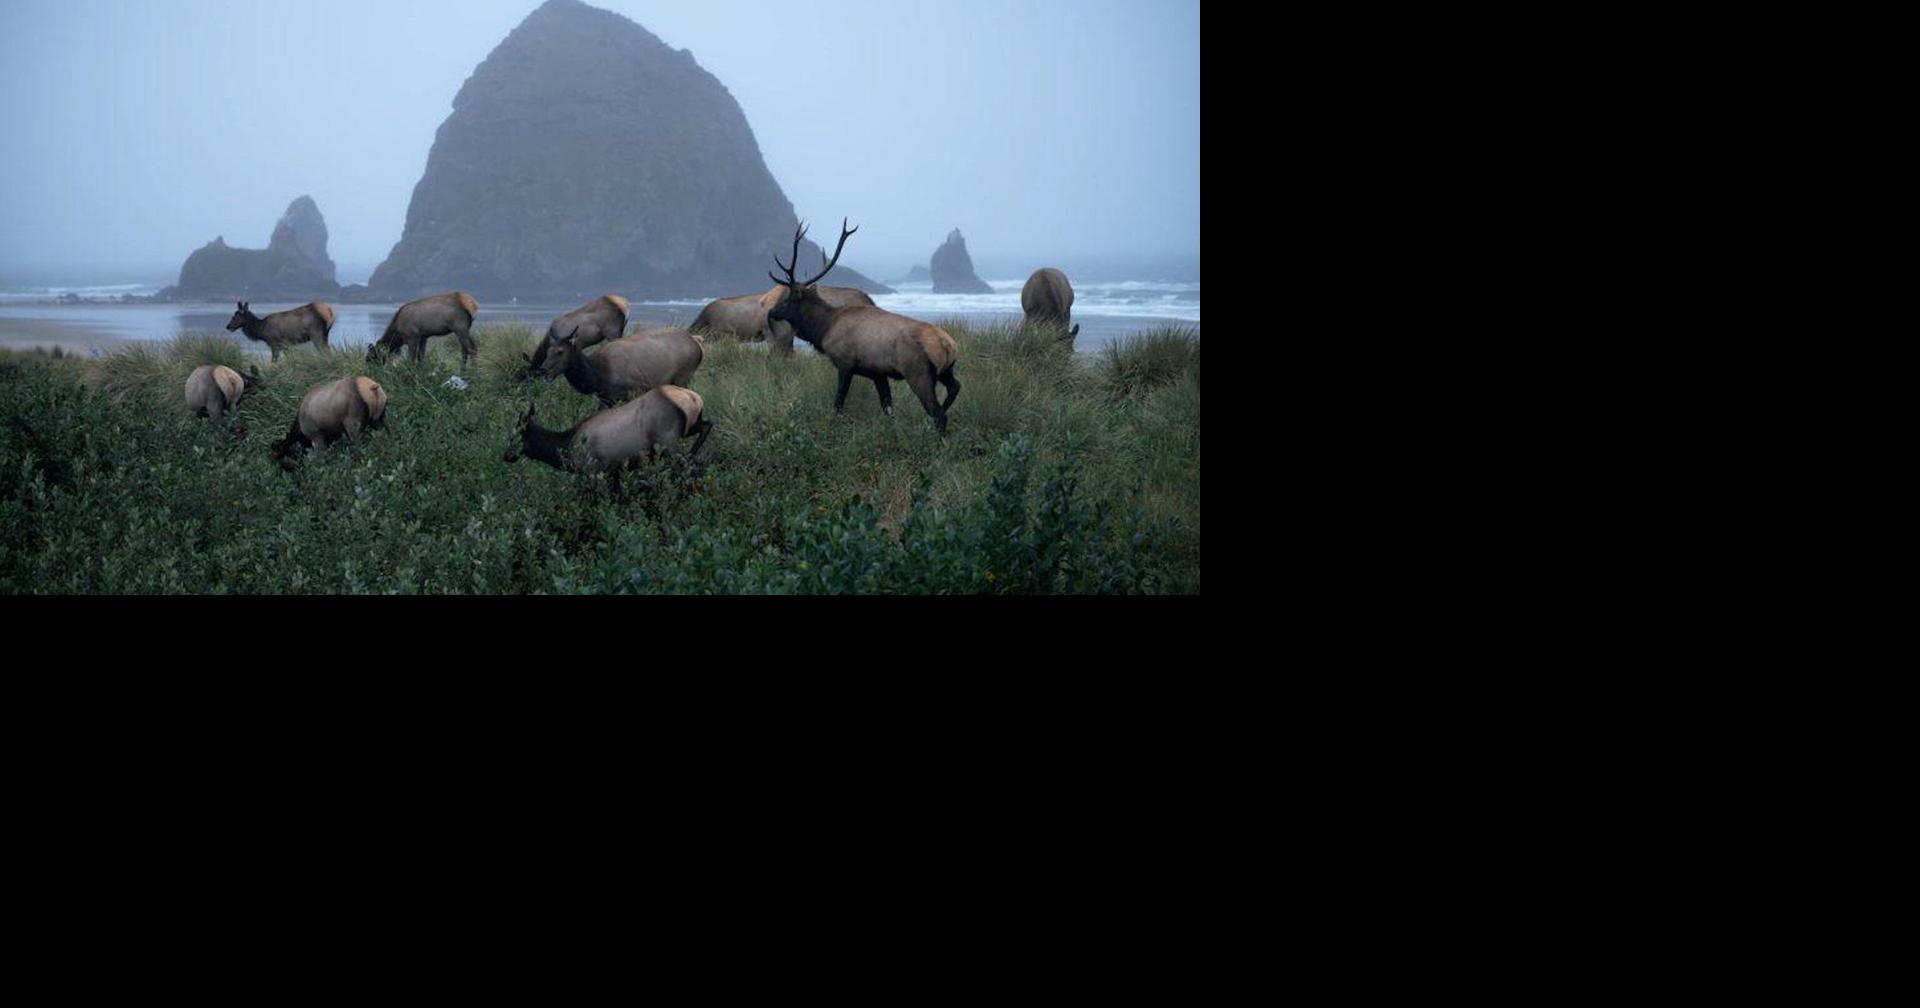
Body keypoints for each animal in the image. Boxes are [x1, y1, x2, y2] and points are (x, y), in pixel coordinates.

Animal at [766, 220, 960, 433]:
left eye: (787, 299)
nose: (771, 311)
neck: (824, 327)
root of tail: (948, 345)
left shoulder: (845, 364)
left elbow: (839, 402)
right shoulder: (878, 373)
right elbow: (887, 406)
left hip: (918, 373)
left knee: (938, 413)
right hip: (946, 370)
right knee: (955, 387)